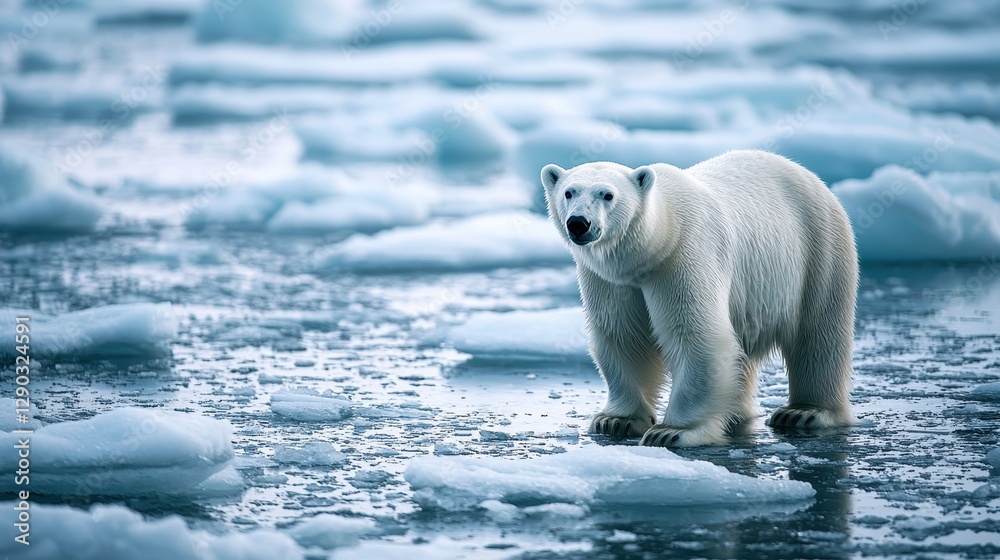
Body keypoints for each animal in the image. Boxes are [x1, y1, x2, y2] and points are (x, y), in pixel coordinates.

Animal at [540, 150, 858, 447]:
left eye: (607, 195)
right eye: (569, 192)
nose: (578, 223)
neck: (658, 239)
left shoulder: (684, 254)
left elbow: (696, 336)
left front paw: (672, 431)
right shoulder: (611, 281)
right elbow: (624, 336)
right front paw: (616, 420)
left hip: (818, 249)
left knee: (819, 333)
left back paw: (805, 412)